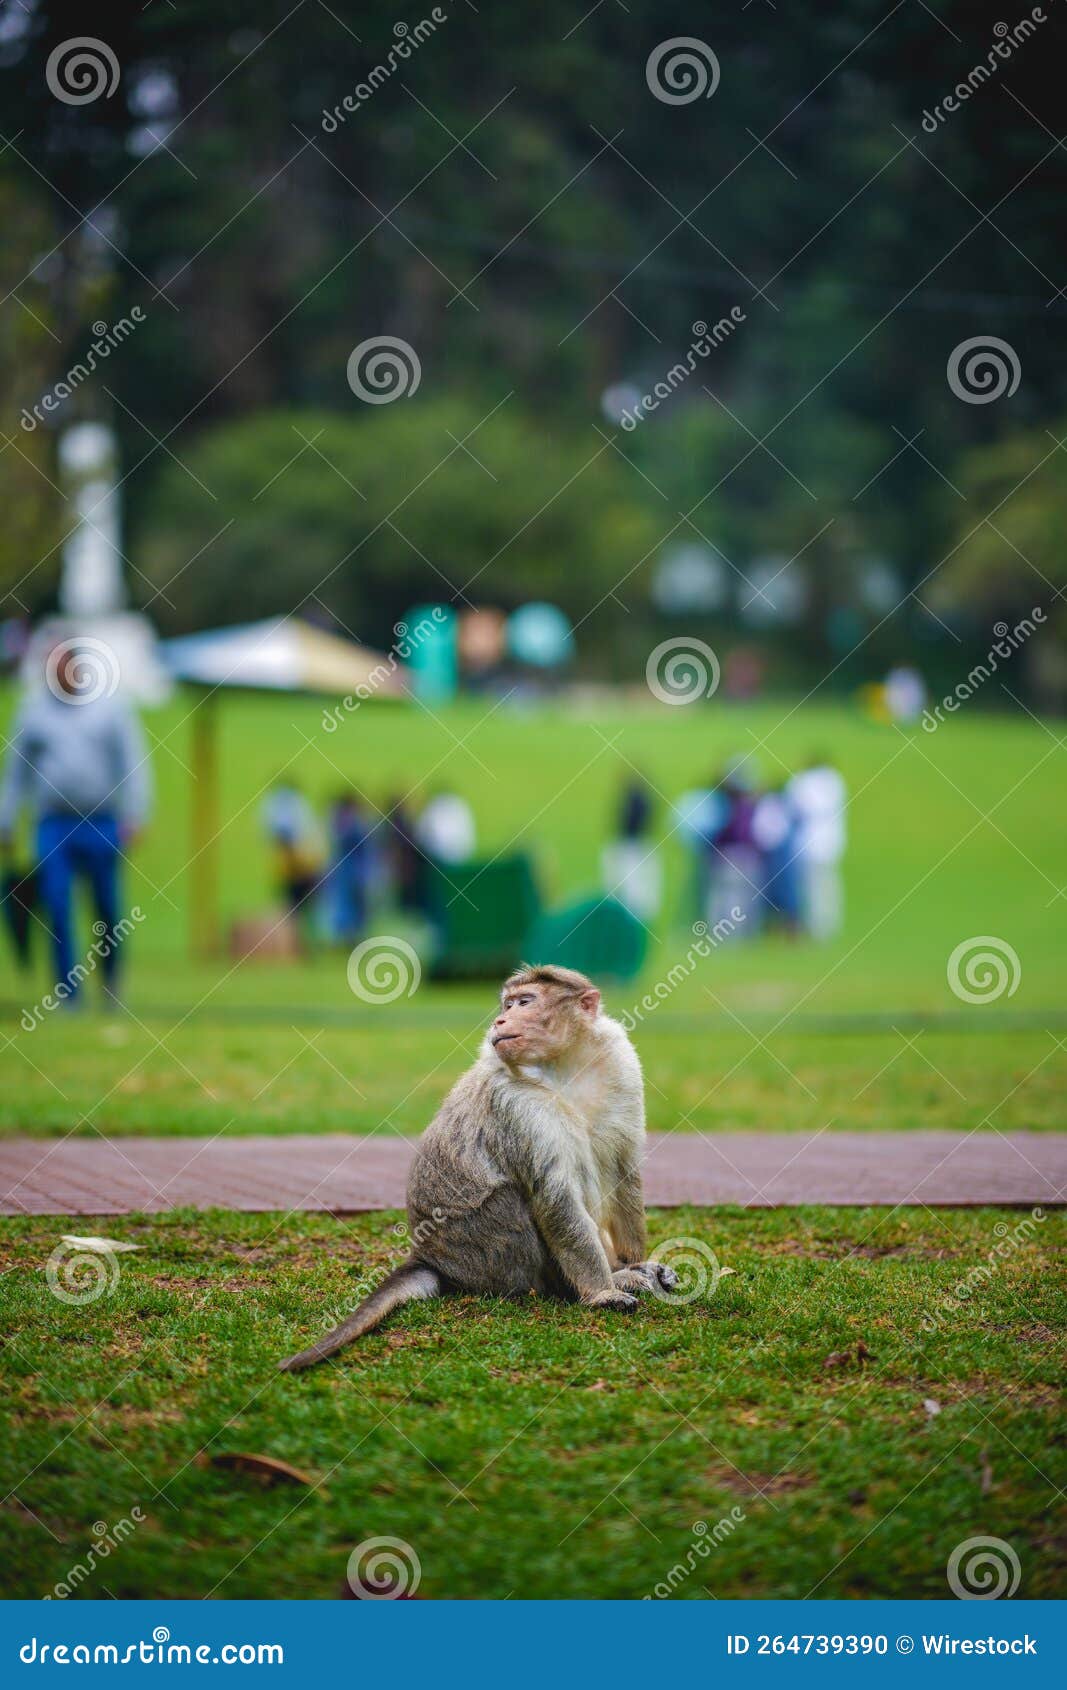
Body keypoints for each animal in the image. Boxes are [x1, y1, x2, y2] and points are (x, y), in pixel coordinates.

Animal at [278, 963, 676, 1371]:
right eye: (508, 1004)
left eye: (524, 1002)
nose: (500, 1019)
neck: (564, 1064)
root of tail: (430, 1258)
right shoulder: (516, 1102)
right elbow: (555, 1196)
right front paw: (601, 1292)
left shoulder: (619, 1061)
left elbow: (624, 1169)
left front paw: (635, 1263)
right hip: (489, 1258)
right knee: (510, 1202)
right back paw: (578, 1284)